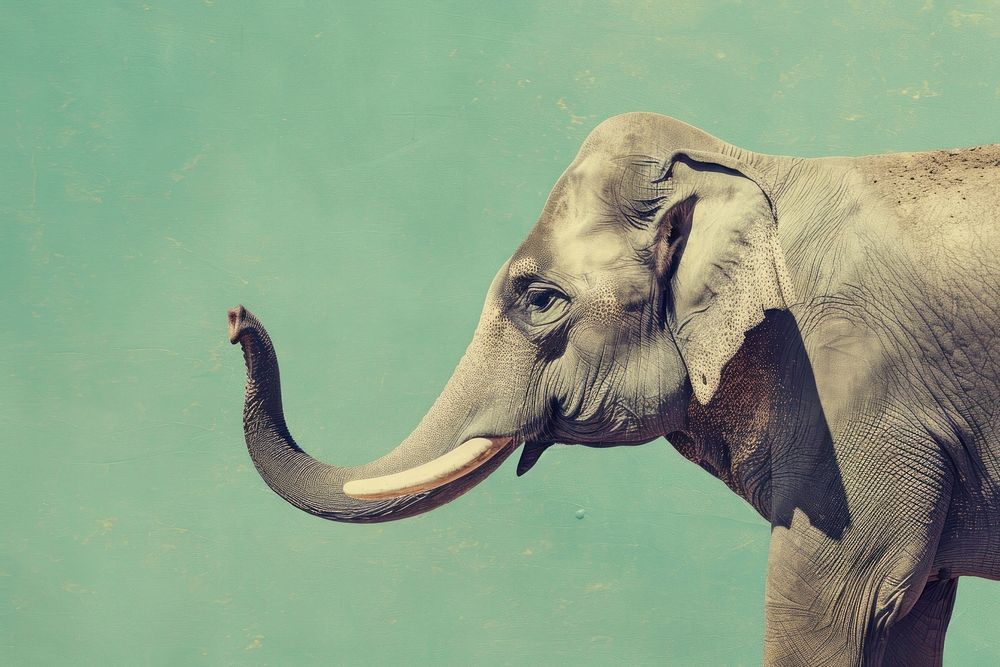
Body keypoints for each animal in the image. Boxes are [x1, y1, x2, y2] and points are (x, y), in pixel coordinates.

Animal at [229, 112, 999, 666]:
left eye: (539, 300)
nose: (237, 318)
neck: (750, 169)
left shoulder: (859, 389)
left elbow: (835, 603)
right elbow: (907, 619)